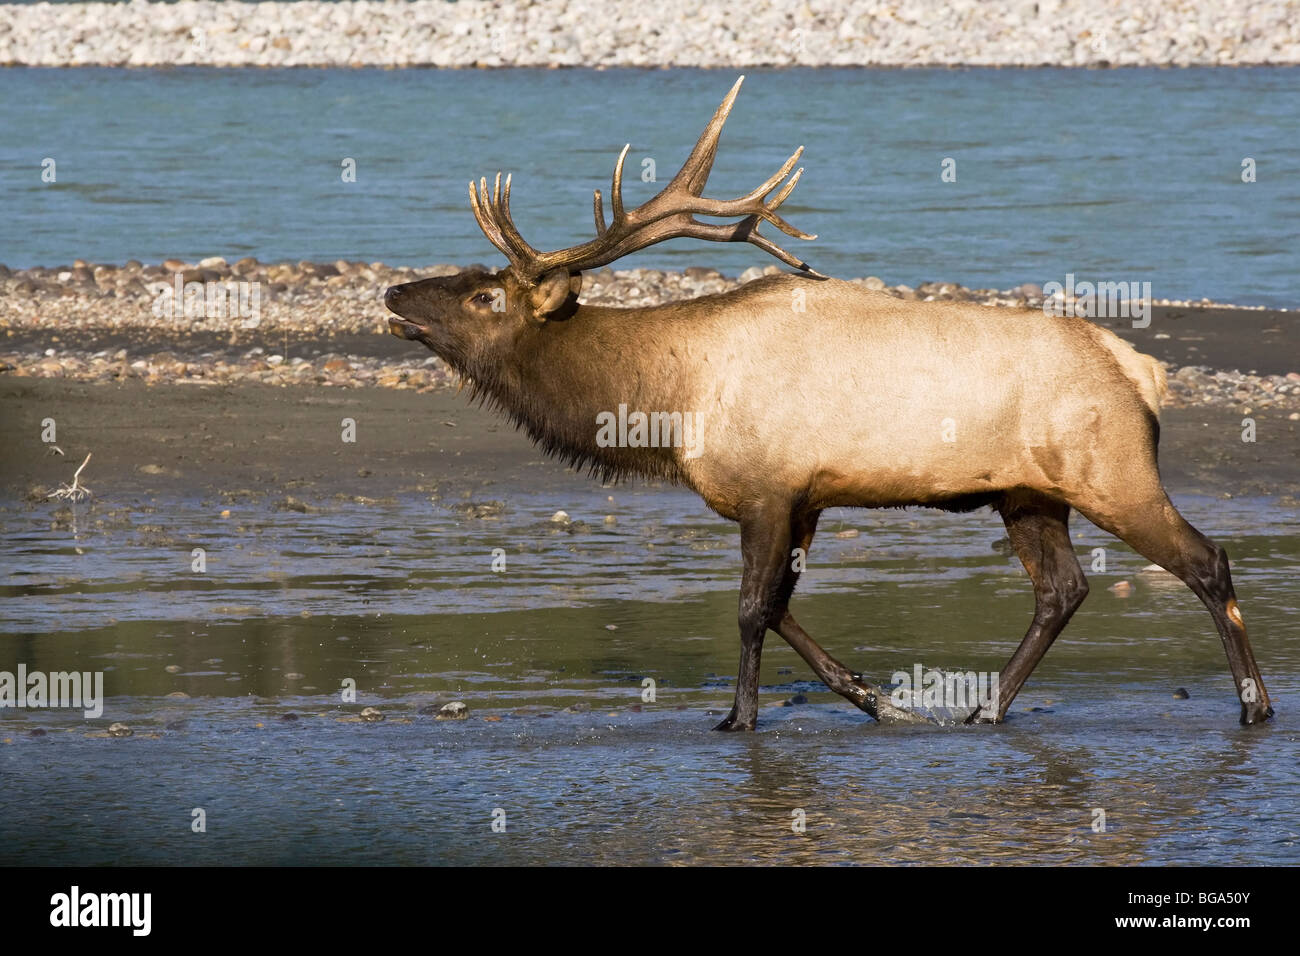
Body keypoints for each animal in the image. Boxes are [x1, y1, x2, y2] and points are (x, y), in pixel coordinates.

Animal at [385, 76, 1273, 731]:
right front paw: (877, 700)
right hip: (1027, 492)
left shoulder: (769, 490)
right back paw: (986, 710)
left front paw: (737, 720)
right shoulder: (804, 497)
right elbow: (779, 608)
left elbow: (750, 610)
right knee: (1062, 590)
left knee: (1205, 560)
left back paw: (1254, 705)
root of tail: (1141, 371)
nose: (393, 291)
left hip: (1110, 467)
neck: (666, 402)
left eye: (485, 295)